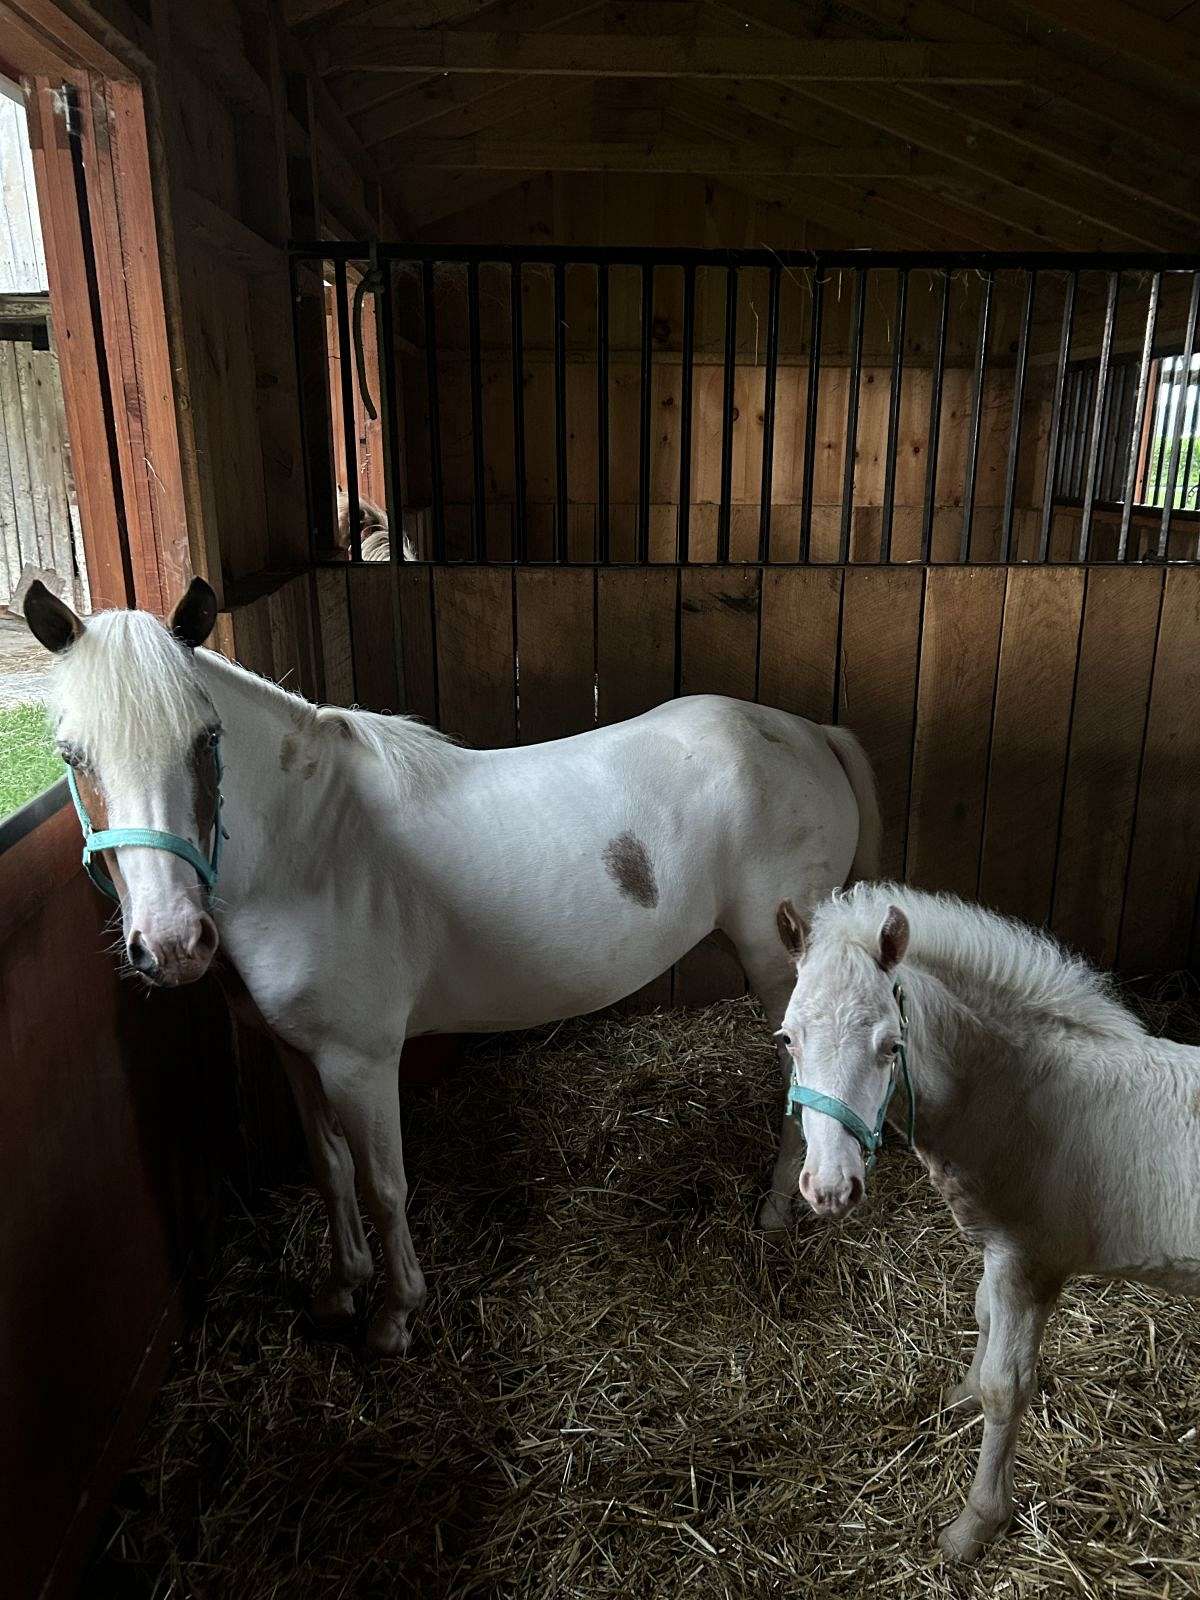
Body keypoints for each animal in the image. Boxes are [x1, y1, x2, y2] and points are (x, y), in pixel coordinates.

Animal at [24, 576, 880, 1356]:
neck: (313, 849)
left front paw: (394, 1315)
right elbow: (330, 1169)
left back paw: (777, 1209)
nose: (171, 943)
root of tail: (810, 734)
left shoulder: (360, 1061)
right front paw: (339, 1289)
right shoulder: (298, 1055)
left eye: (206, 740)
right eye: (71, 754)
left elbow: (384, 1185)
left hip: (782, 968)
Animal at [773, 881, 1200, 1562]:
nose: (831, 1188)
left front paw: (974, 1526)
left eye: (891, 1045)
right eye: (788, 1039)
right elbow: (981, 1315)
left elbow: (1009, 1387)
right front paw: (959, 1397)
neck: (1021, 1096)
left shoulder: (1030, 1263)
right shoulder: (1001, 1251)